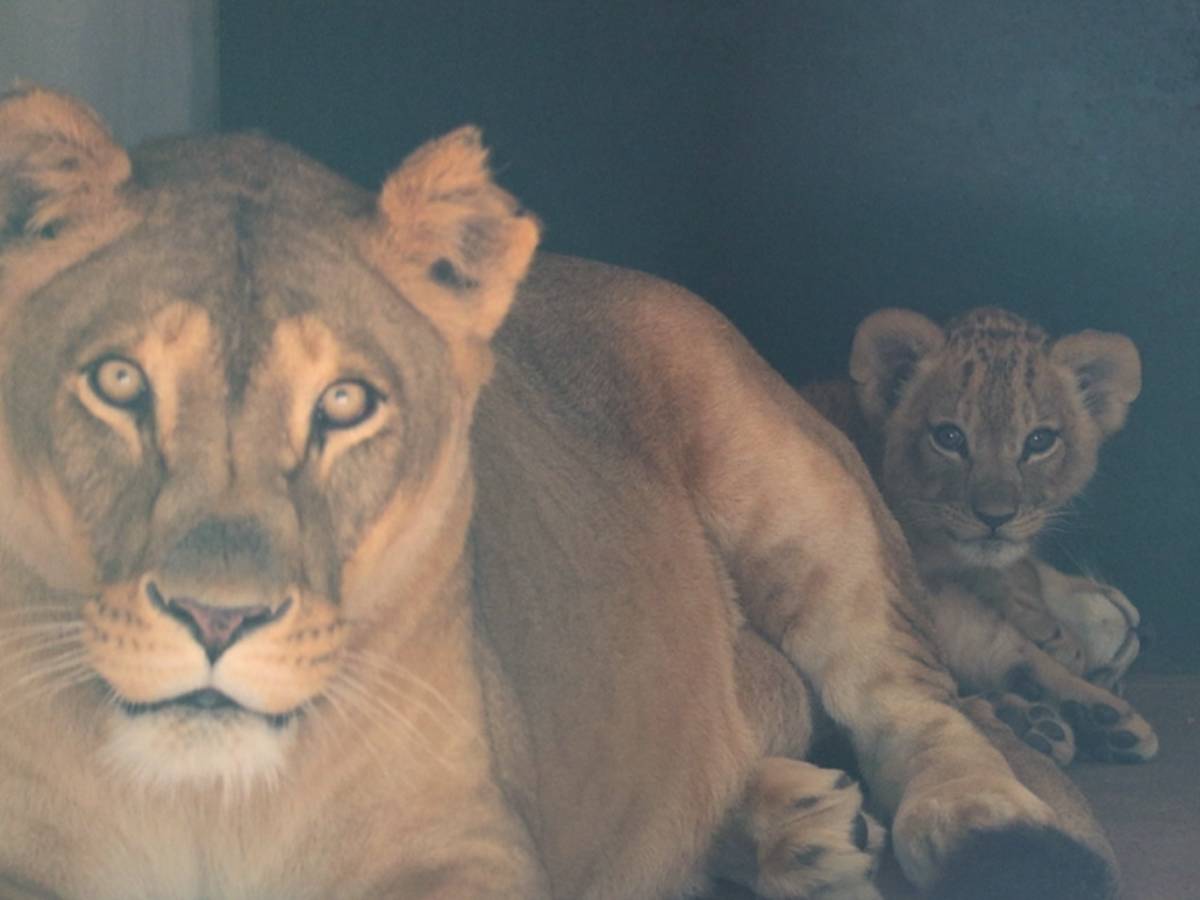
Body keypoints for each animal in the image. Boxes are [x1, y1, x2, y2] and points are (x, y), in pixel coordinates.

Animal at [0, 87, 1117, 899]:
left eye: (346, 403)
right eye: (118, 382)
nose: (216, 617)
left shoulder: (472, 847)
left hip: (798, 492)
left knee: (912, 698)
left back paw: (988, 808)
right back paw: (806, 824)